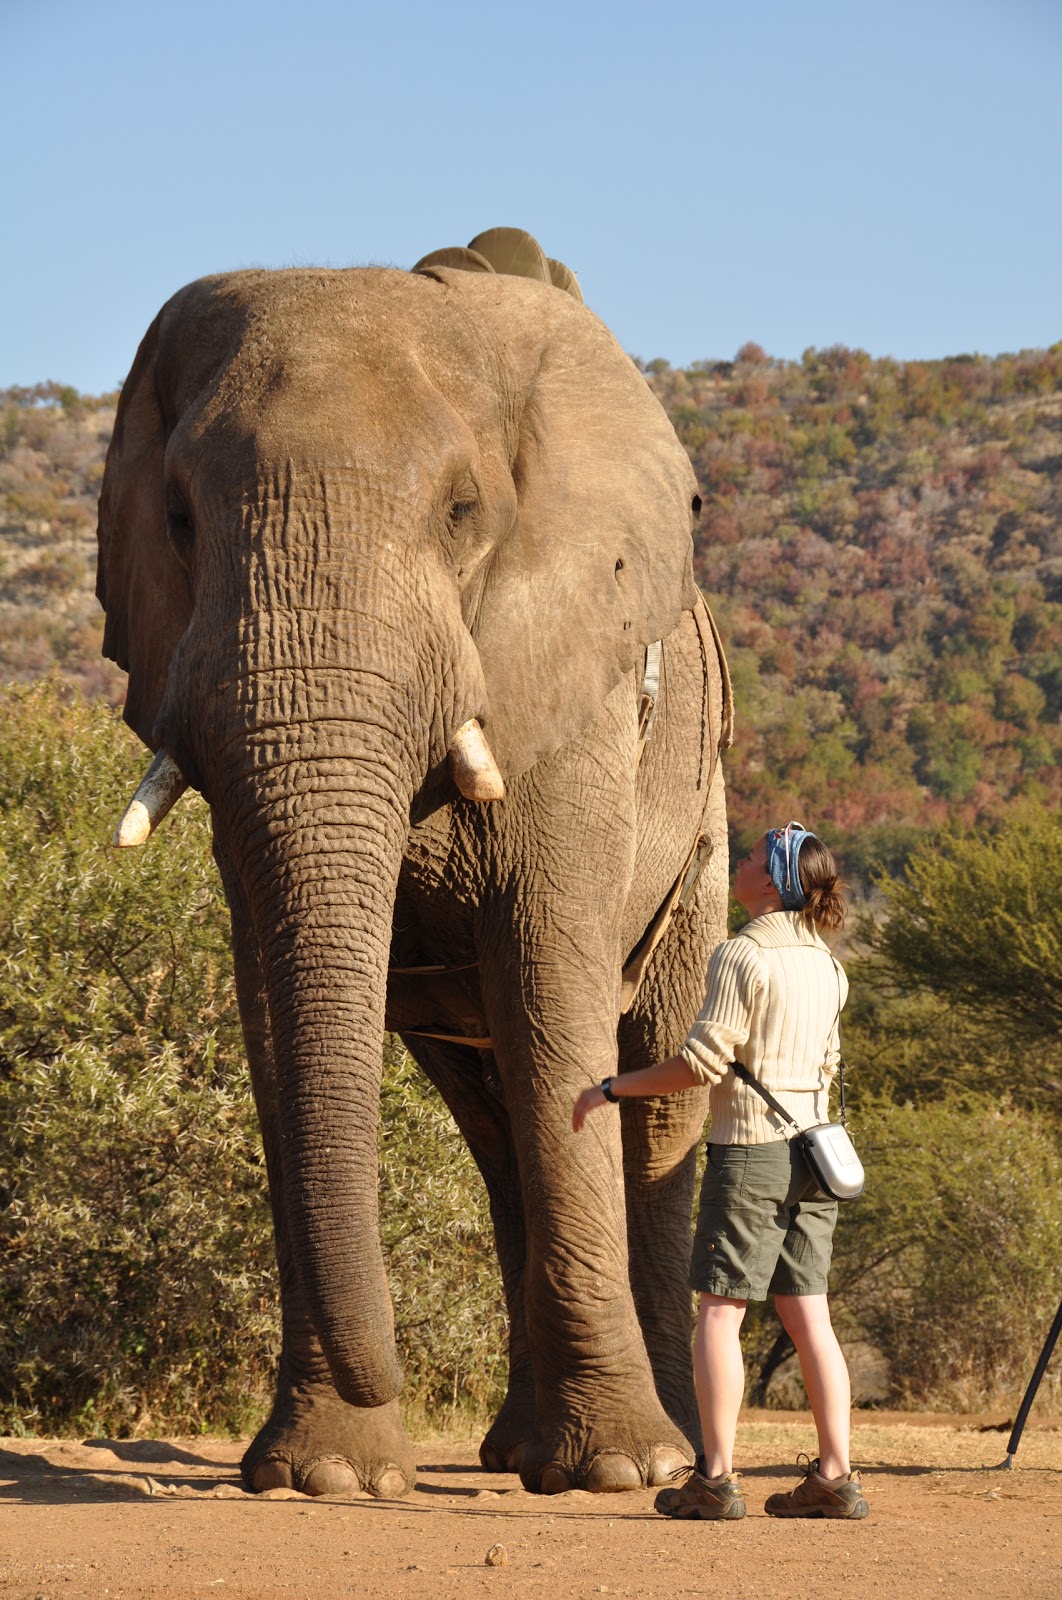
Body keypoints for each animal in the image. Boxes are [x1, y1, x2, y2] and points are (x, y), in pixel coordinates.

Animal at [96, 226, 732, 1499]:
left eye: (461, 511)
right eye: (179, 518)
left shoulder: (575, 687)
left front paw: (614, 1472)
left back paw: (670, 1453)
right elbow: (270, 1008)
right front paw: (329, 1477)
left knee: (651, 1083)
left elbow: (550, 979)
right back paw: (517, 1449)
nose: (391, 1363)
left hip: (707, 830)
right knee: (491, 1124)